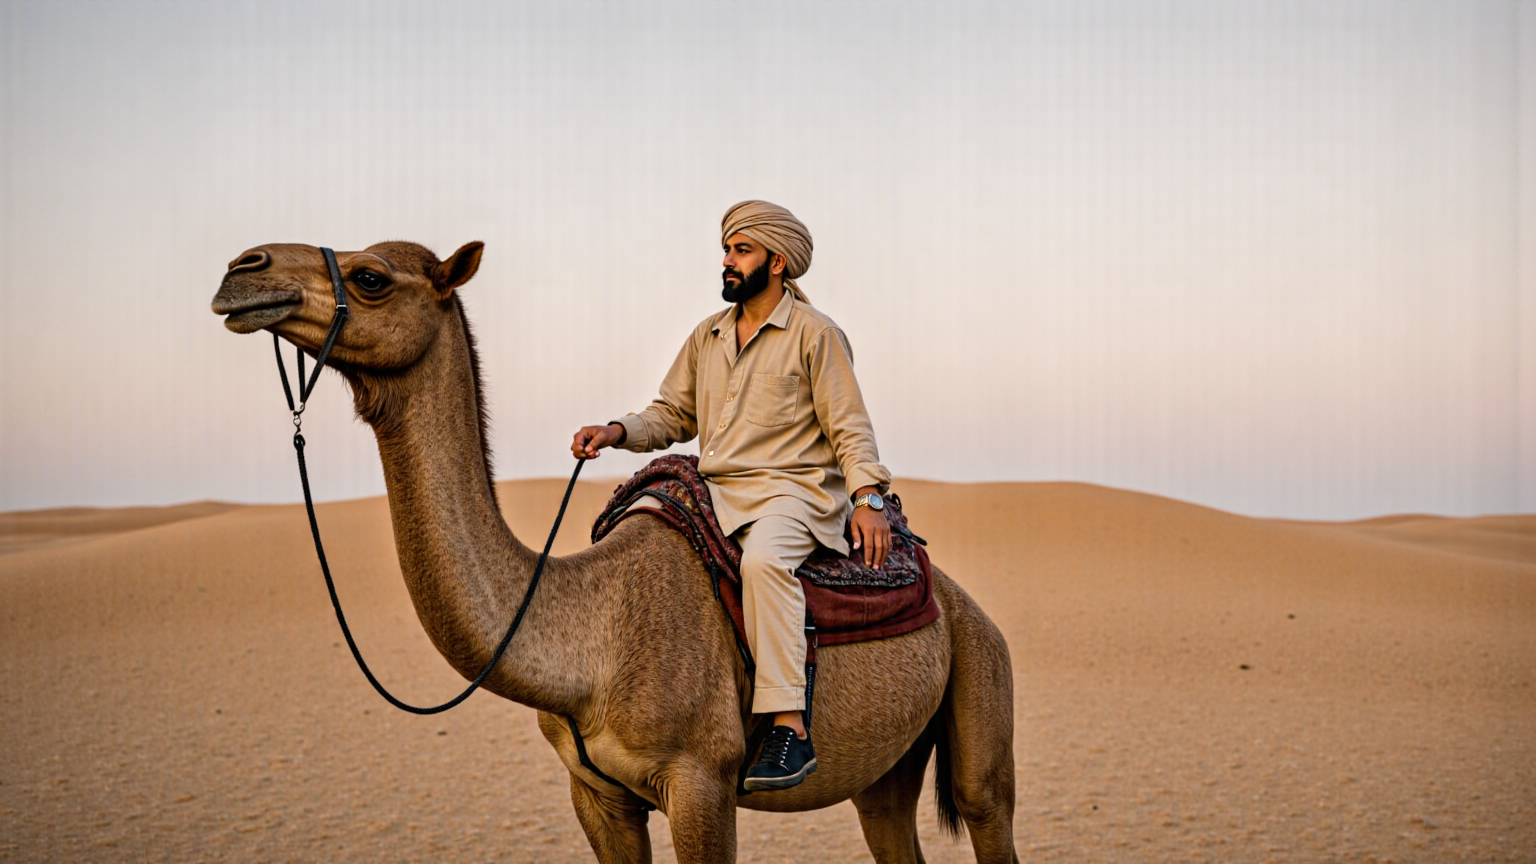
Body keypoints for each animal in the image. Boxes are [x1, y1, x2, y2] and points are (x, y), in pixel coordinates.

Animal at [211, 240, 1019, 863]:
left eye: (372, 276)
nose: (243, 268)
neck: (588, 642)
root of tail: (965, 606)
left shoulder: (702, 781)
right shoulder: (595, 793)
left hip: (983, 682)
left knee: (985, 802)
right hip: (886, 769)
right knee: (888, 817)